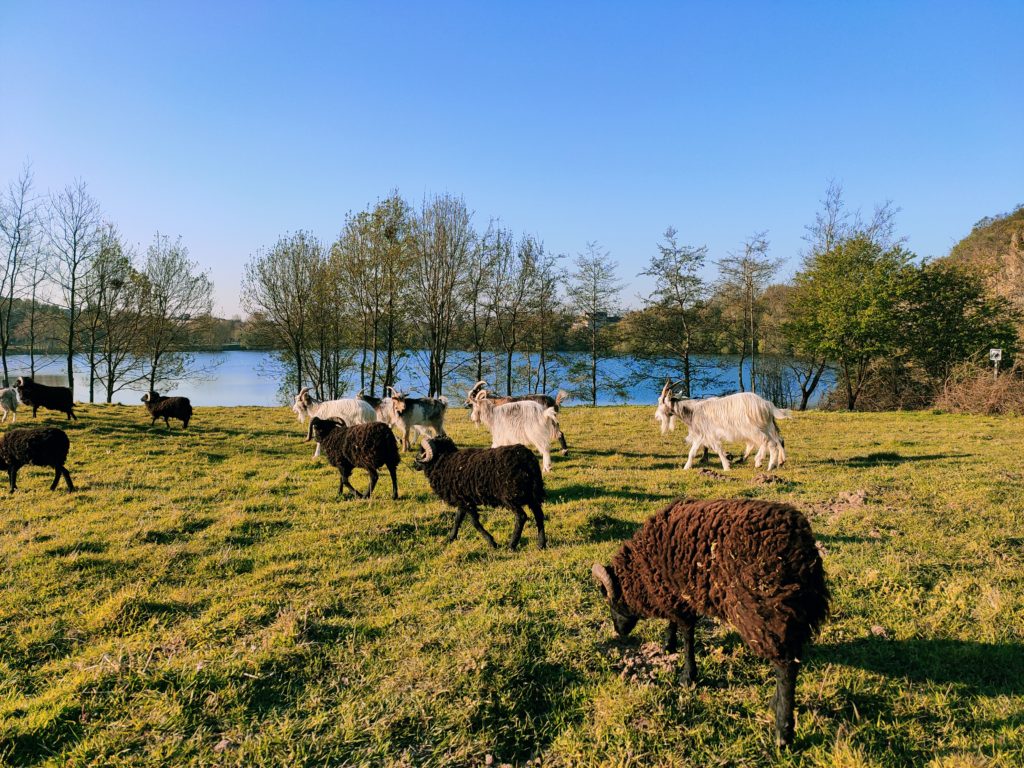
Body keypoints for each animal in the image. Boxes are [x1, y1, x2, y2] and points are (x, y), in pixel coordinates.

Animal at [413, 436, 548, 548]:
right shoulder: (463, 499)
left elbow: (474, 522)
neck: (445, 461)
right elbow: (458, 519)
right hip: (532, 494)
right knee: (539, 515)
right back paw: (541, 544)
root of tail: (528, 459)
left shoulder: (466, 502)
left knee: (521, 517)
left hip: (510, 495)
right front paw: (451, 538)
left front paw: (491, 542)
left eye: (422, 450)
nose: (414, 464)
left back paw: (512, 545)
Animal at [598, 495, 827, 749]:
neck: (643, 567)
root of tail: (802, 549)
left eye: (613, 602)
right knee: (791, 660)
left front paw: (687, 676)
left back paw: (782, 732)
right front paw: (668, 644)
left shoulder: (683, 595)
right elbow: (673, 622)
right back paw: (774, 705)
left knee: (785, 667)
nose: (619, 632)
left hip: (767, 611)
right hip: (793, 612)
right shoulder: (675, 592)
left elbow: (687, 633)